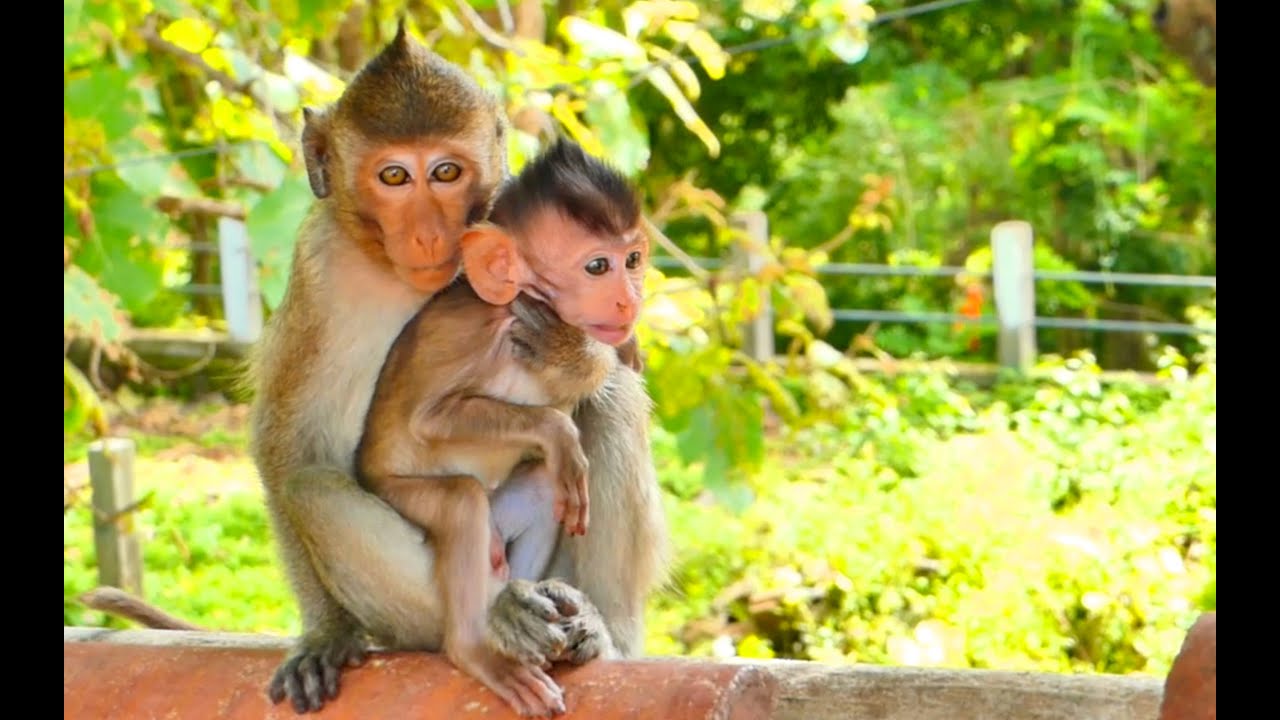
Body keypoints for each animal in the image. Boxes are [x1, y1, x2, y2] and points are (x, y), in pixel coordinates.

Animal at [245, 22, 669, 717]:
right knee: (317, 489)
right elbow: (290, 445)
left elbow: (617, 365)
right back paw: (489, 626)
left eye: (445, 172)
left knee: (604, 411)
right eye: (394, 176)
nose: (426, 233)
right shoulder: (319, 265)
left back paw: (597, 630)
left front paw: (565, 347)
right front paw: (327, 632)